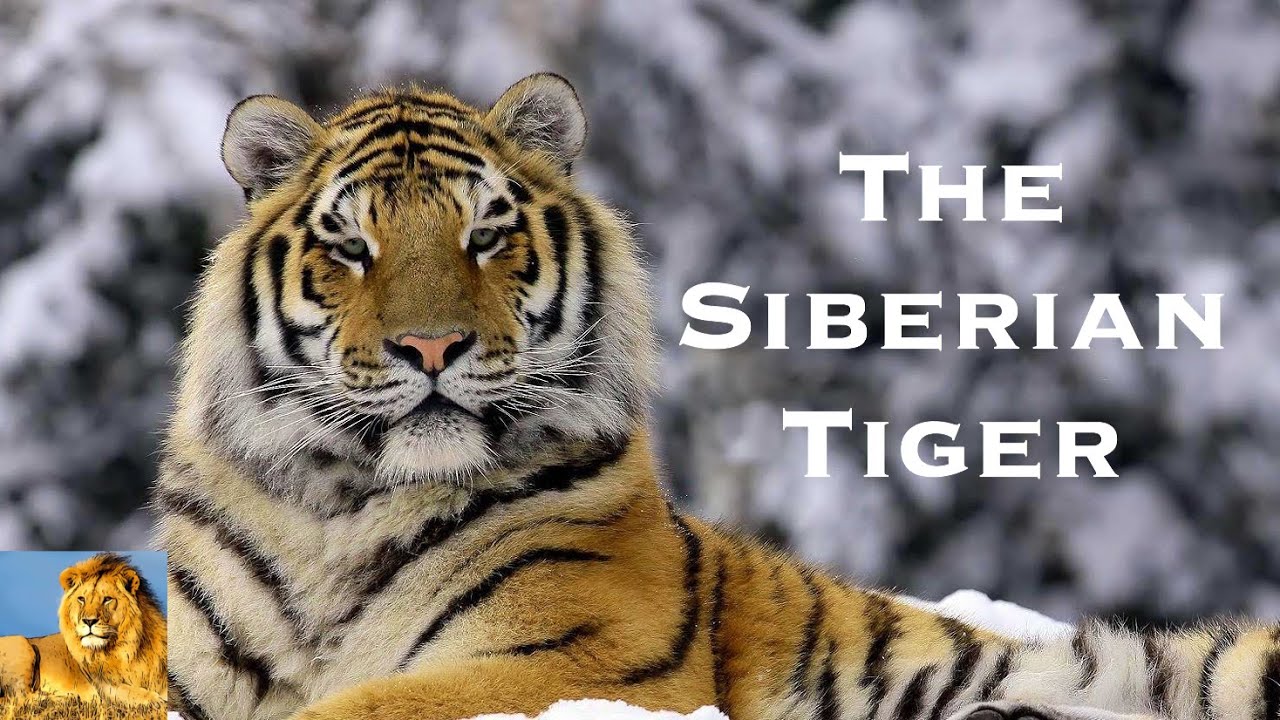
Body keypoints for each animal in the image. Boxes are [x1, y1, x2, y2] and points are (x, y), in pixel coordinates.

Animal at [155, 72, 1278, 720]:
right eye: (352, 246)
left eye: (486, 234)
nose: (431, 345)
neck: (337, 515)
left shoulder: (580, 657)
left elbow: (364, 707)